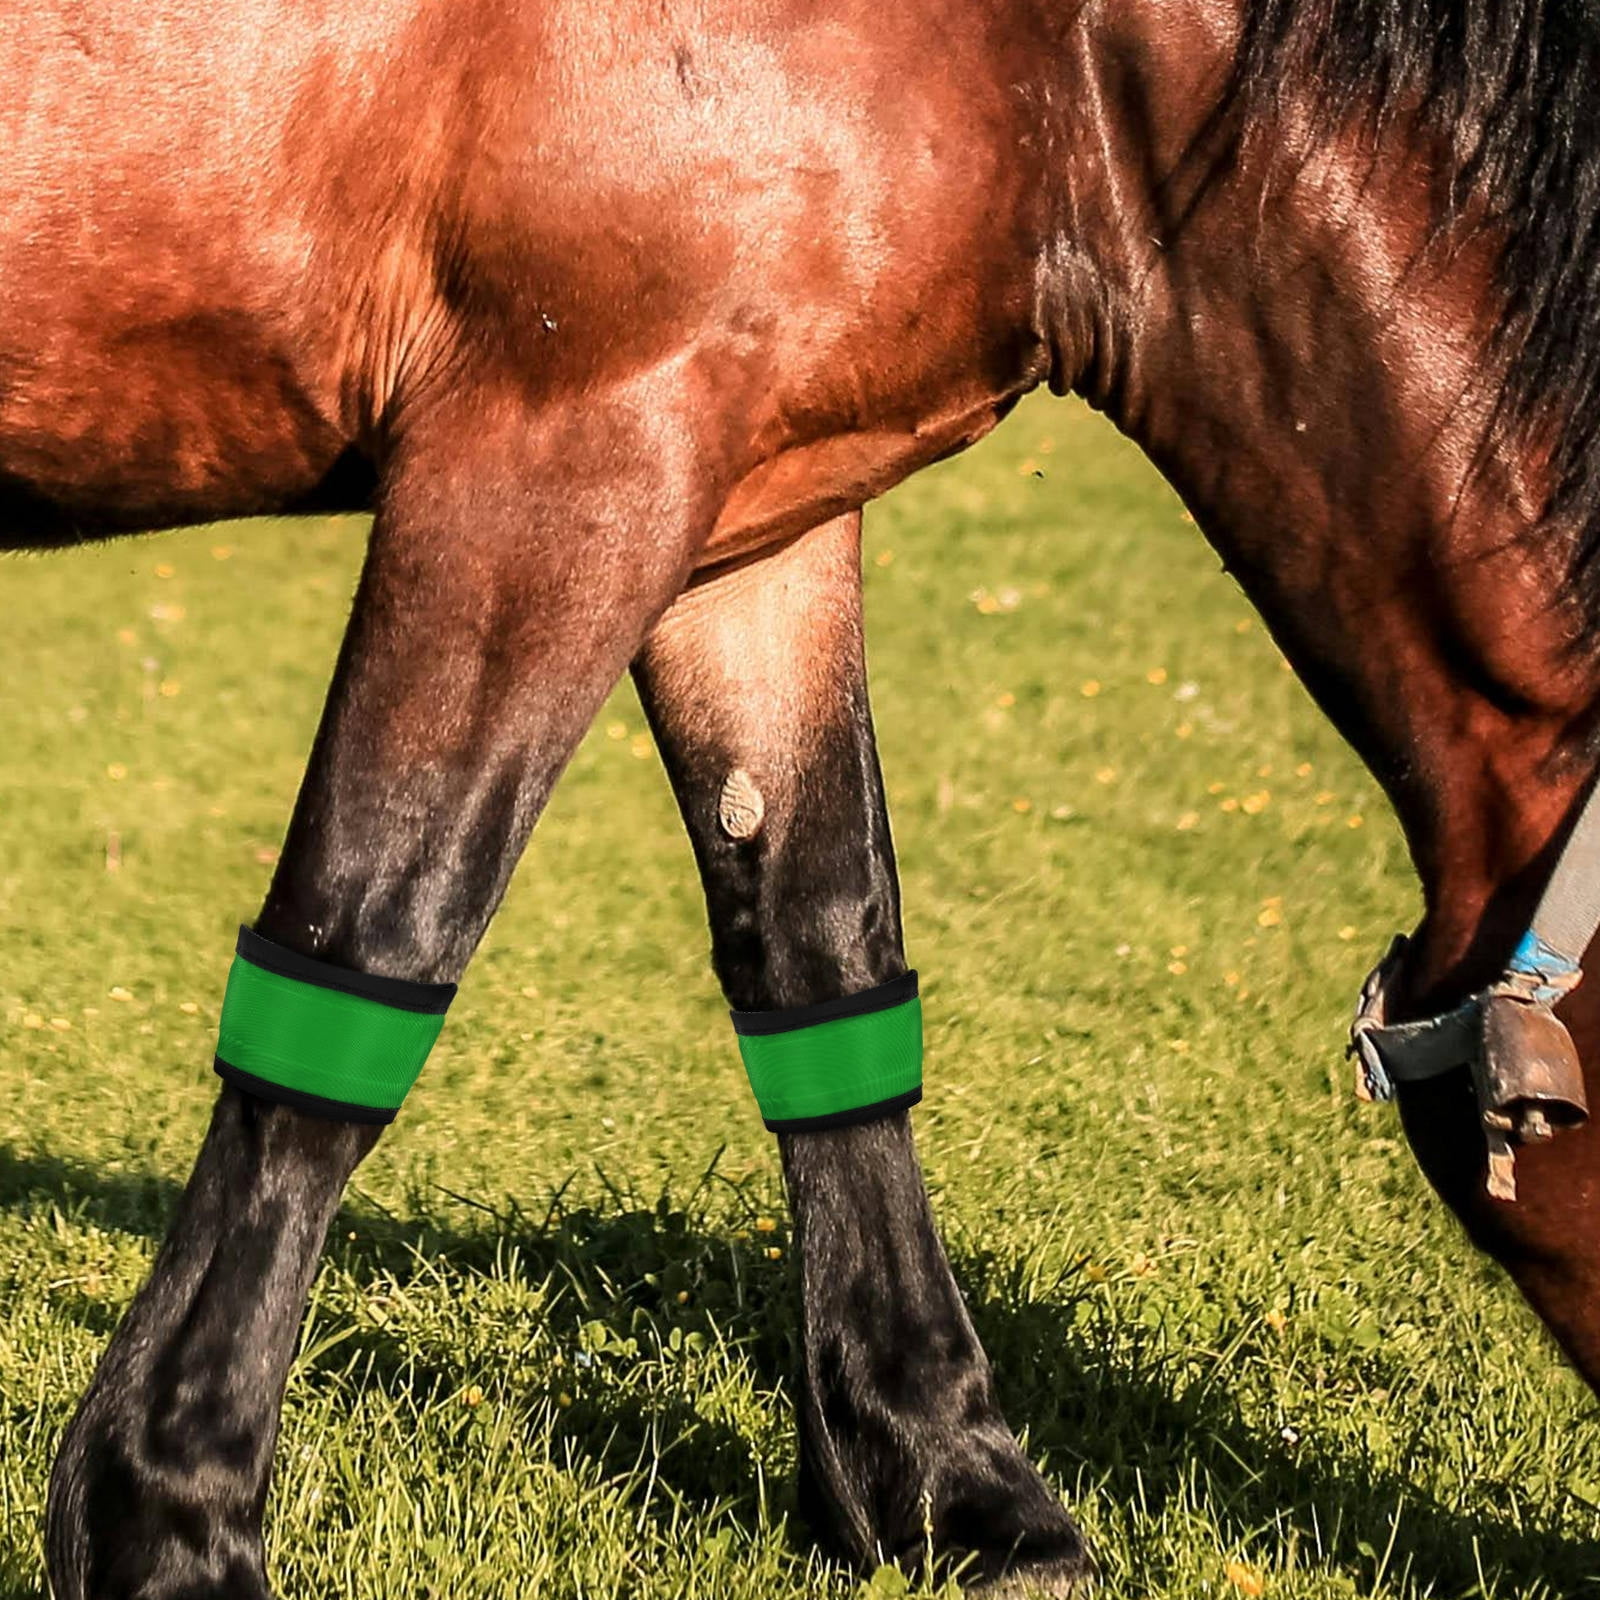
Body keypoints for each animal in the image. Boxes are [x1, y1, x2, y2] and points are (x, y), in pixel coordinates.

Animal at [11, 0, 1600, 1592]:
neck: (1066, 68)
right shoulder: (559, 450)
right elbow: (367, 952)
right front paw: (167, 1514)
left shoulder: (752, 509)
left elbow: (824, 959)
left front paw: (951, 1481)